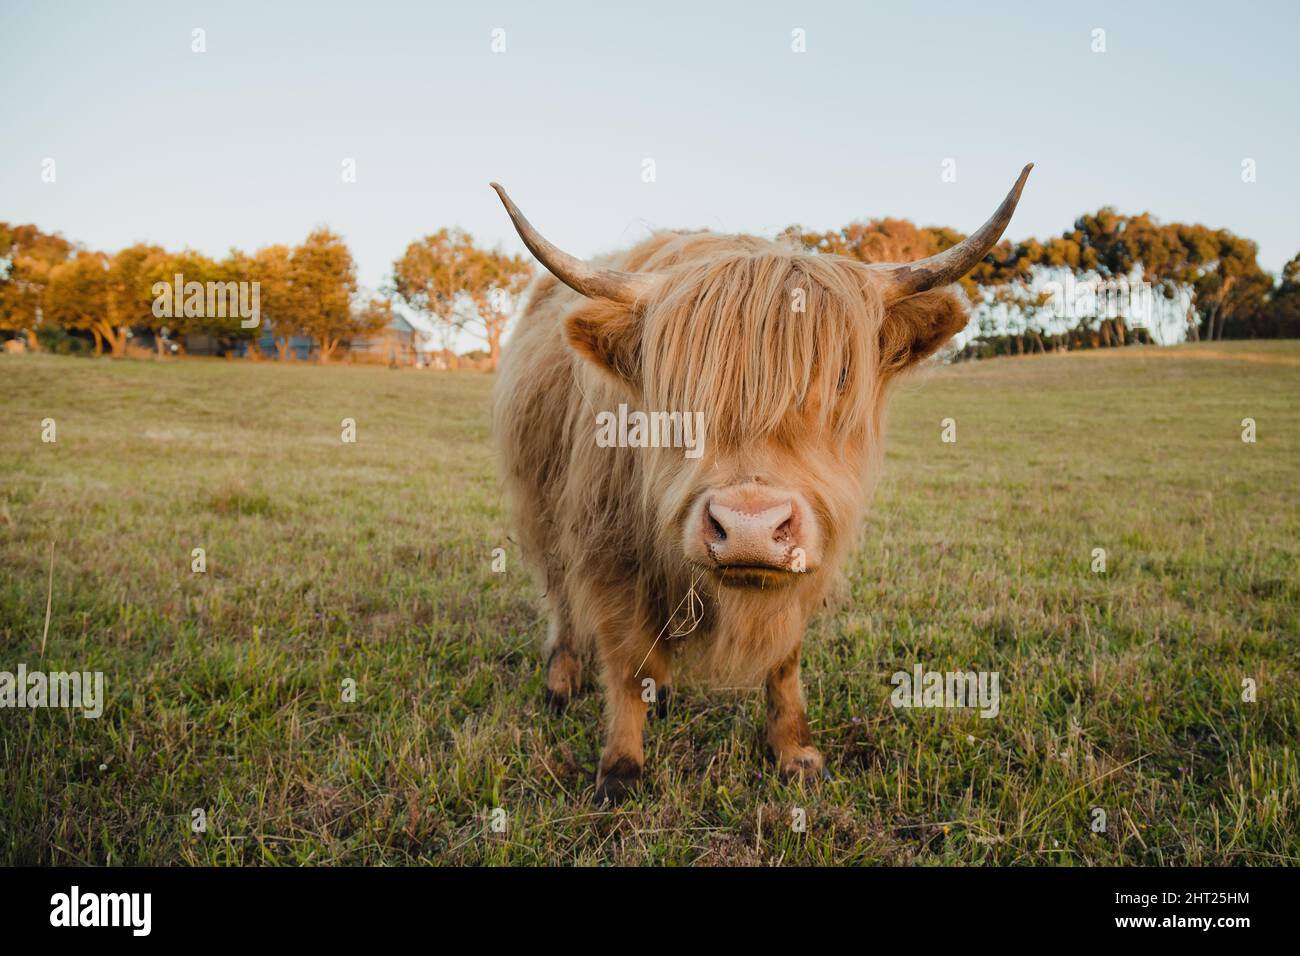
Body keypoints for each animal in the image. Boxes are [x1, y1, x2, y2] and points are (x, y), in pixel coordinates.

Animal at [491, 166, 1032, 803]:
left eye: (841, 373)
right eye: (675, 382)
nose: (749, 526)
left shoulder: (812, 550)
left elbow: (784, 659)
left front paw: (795, 752)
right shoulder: (610, 552)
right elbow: (626, 662)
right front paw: (620, 769)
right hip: (541, 505)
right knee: (559, 594)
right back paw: (561, 678)